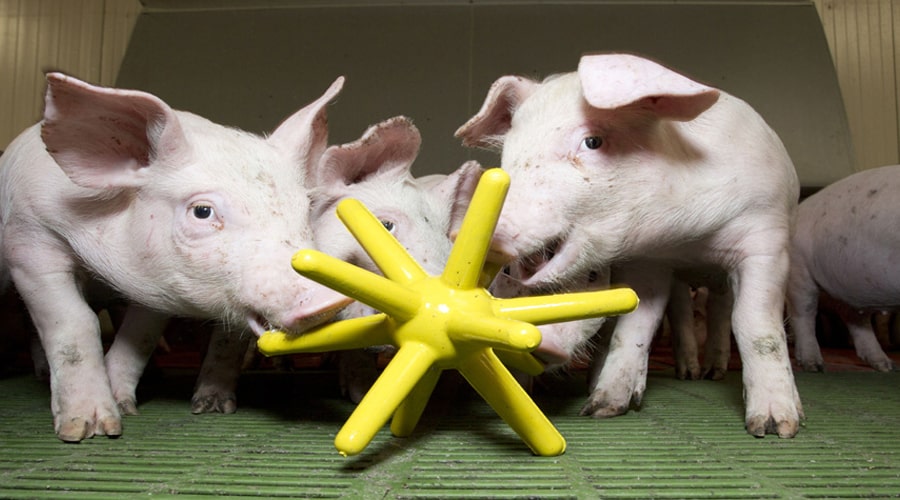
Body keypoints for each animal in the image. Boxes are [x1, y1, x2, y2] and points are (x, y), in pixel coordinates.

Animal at [0, 73, 351, 442]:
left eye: (306, 209)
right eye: (202, 211)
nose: (329, 297)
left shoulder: (158, 287)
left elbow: (142, 337)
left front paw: (202, 409)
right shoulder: (28, 239)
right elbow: (74, 324)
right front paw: (90, 430)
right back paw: (42, 376)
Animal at [456, 53, 803, 438]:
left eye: (593, 142)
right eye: (509, 153)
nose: (471, 228)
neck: (686, 237)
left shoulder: (766, 236)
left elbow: (756, 324)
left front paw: (775, 428)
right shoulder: (650, 263)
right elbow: (634, 327)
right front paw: (601, 409)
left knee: (721, 310)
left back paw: (713, 375)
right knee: (682, 315)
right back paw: (686, 374)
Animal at [788, 164, 900, 372]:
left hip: (852, 285)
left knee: (853, 317)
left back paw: (886, 366)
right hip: (799, 268)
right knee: (803, 315)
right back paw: (814, 366)